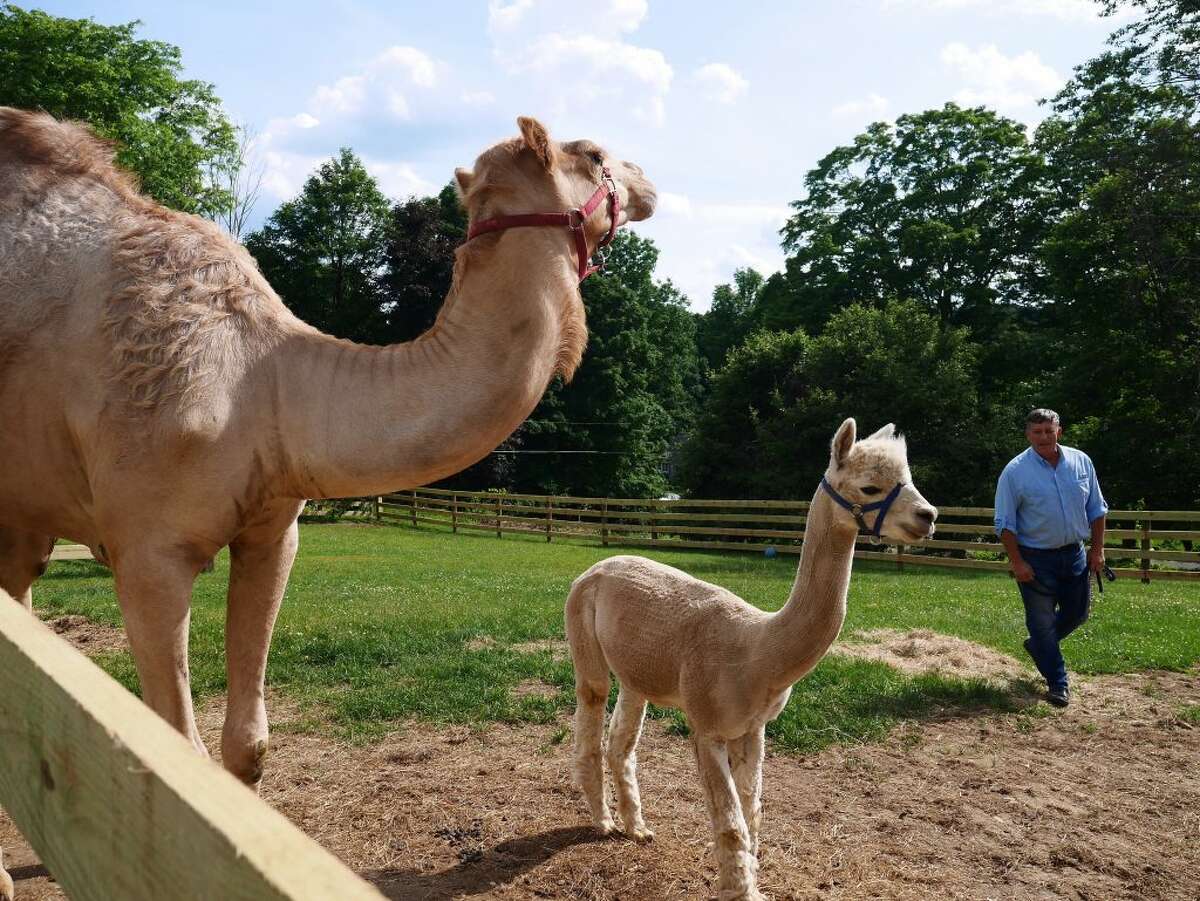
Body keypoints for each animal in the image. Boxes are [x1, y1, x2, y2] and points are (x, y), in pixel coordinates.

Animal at [0, 108, 655, 898]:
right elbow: (179, 750)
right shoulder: (147, 550)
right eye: (591, 153)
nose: (649, 182)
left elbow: (246, 746)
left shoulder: (272, 527)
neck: (260, 384)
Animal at [565, 419, 937, 901]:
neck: (757, 651)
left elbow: (752, 812)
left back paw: (638, 829)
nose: (928, 516)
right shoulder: (707, 726)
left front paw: (749, 881)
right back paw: (603, 822)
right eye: (870, 486)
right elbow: (731, 824)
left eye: (909, 478)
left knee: (621, 743)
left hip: (640, 672)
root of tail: (601, 563)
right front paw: (738, 889)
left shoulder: (753, 727)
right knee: (591, 719)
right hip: (584, 637)